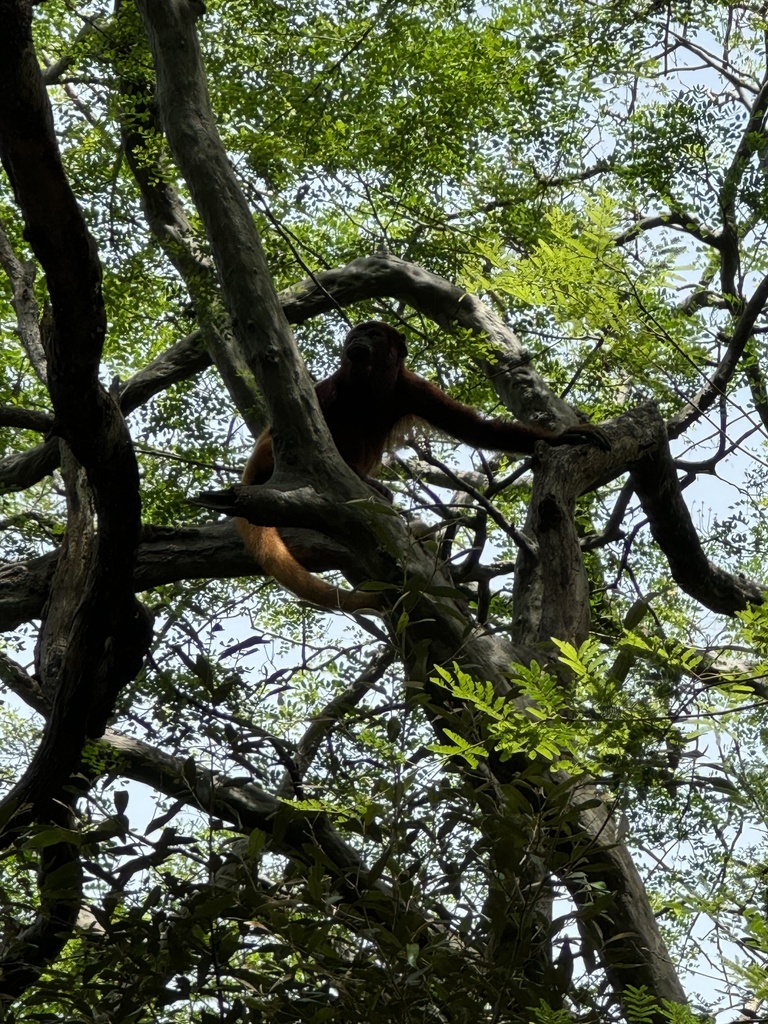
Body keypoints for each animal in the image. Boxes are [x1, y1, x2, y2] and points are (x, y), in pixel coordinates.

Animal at [237, 321, 610, 614]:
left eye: (372, 333)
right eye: (357, 333)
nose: (356, 339)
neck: (370, 384)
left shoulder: (414, 388)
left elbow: (474, 428)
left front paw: (563, 437)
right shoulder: (333, 388)